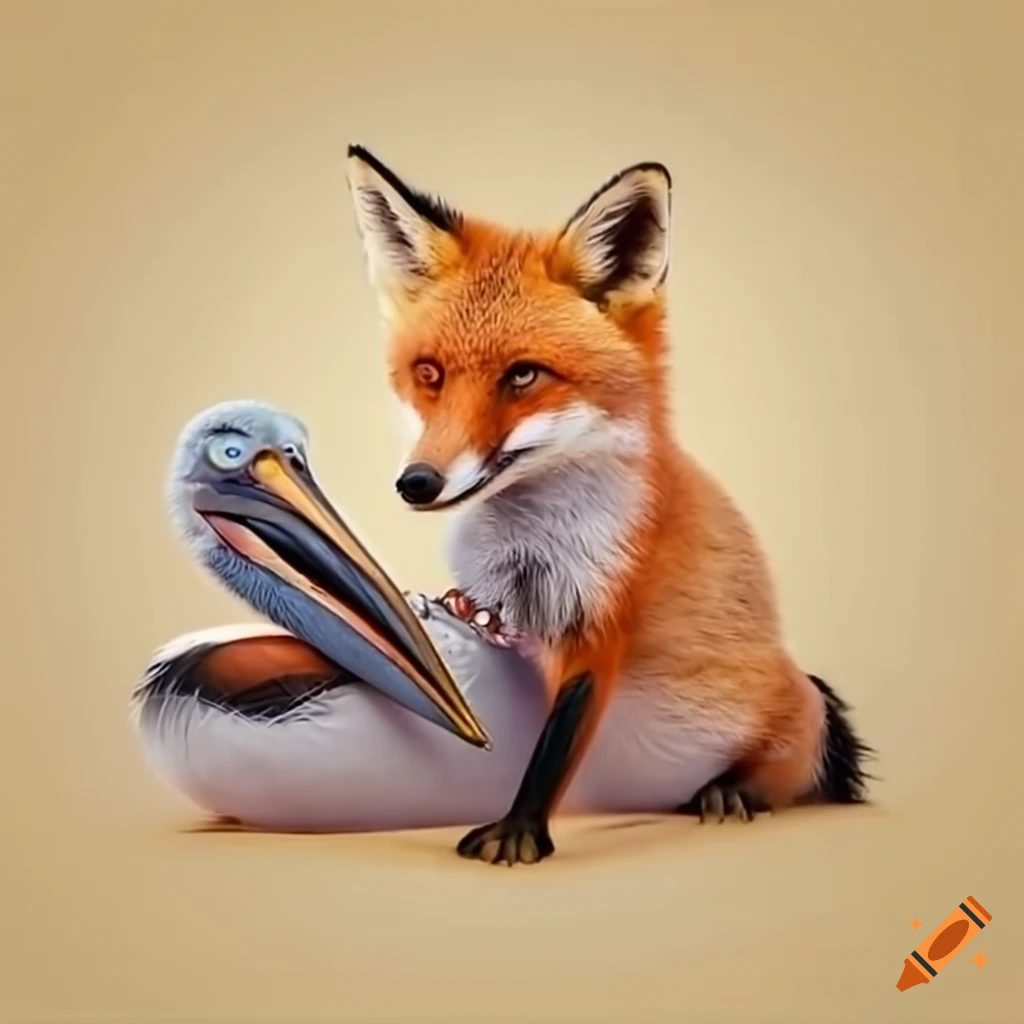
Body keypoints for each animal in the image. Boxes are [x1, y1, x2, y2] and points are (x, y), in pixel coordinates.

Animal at [345, 144, 871, 866]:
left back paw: (731, 789)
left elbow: (556, 744)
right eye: (429, 374)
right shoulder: (497, 605)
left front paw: (518, 834)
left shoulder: (600, 618)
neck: (528, 541)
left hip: (787, 711)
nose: (417, 483)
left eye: (523, 375)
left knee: (789, 771)